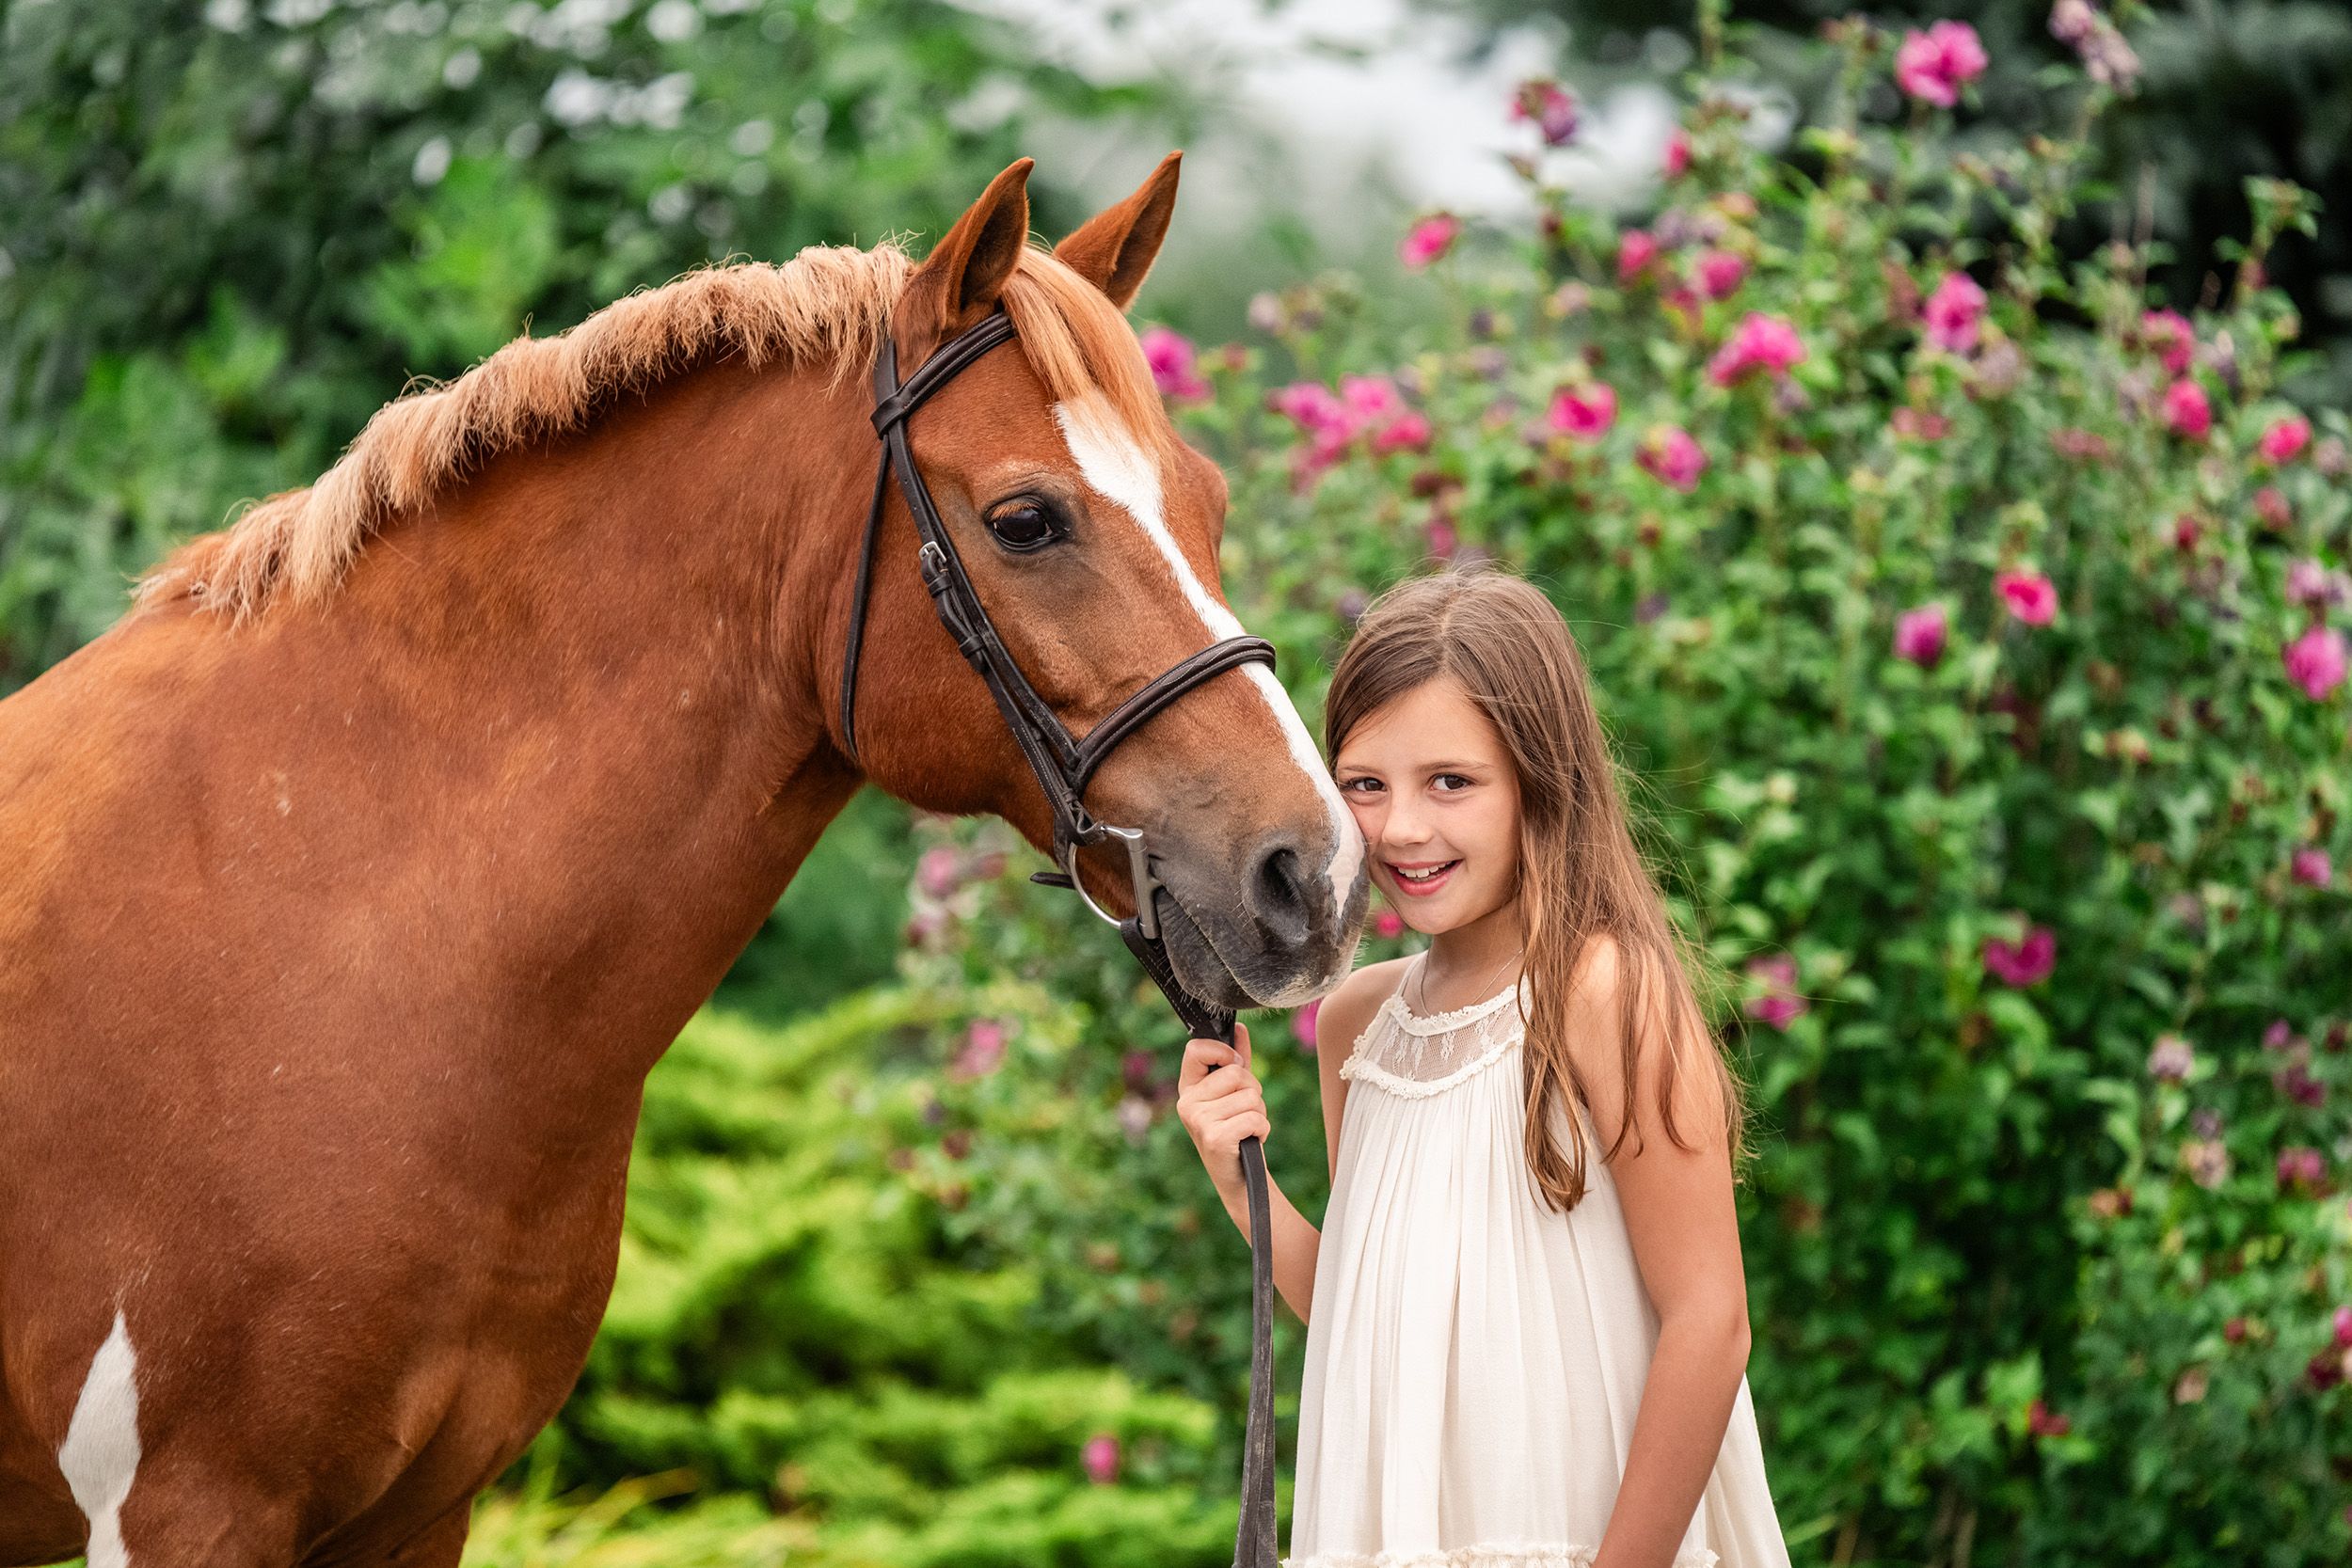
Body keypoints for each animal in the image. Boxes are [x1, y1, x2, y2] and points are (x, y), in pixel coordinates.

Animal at [0, 152, 1368, 1568]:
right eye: (1025, 519)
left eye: (1208, 502)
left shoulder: (415, 1511)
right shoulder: (189, 1507)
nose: (1314, 873)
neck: (326, 917)